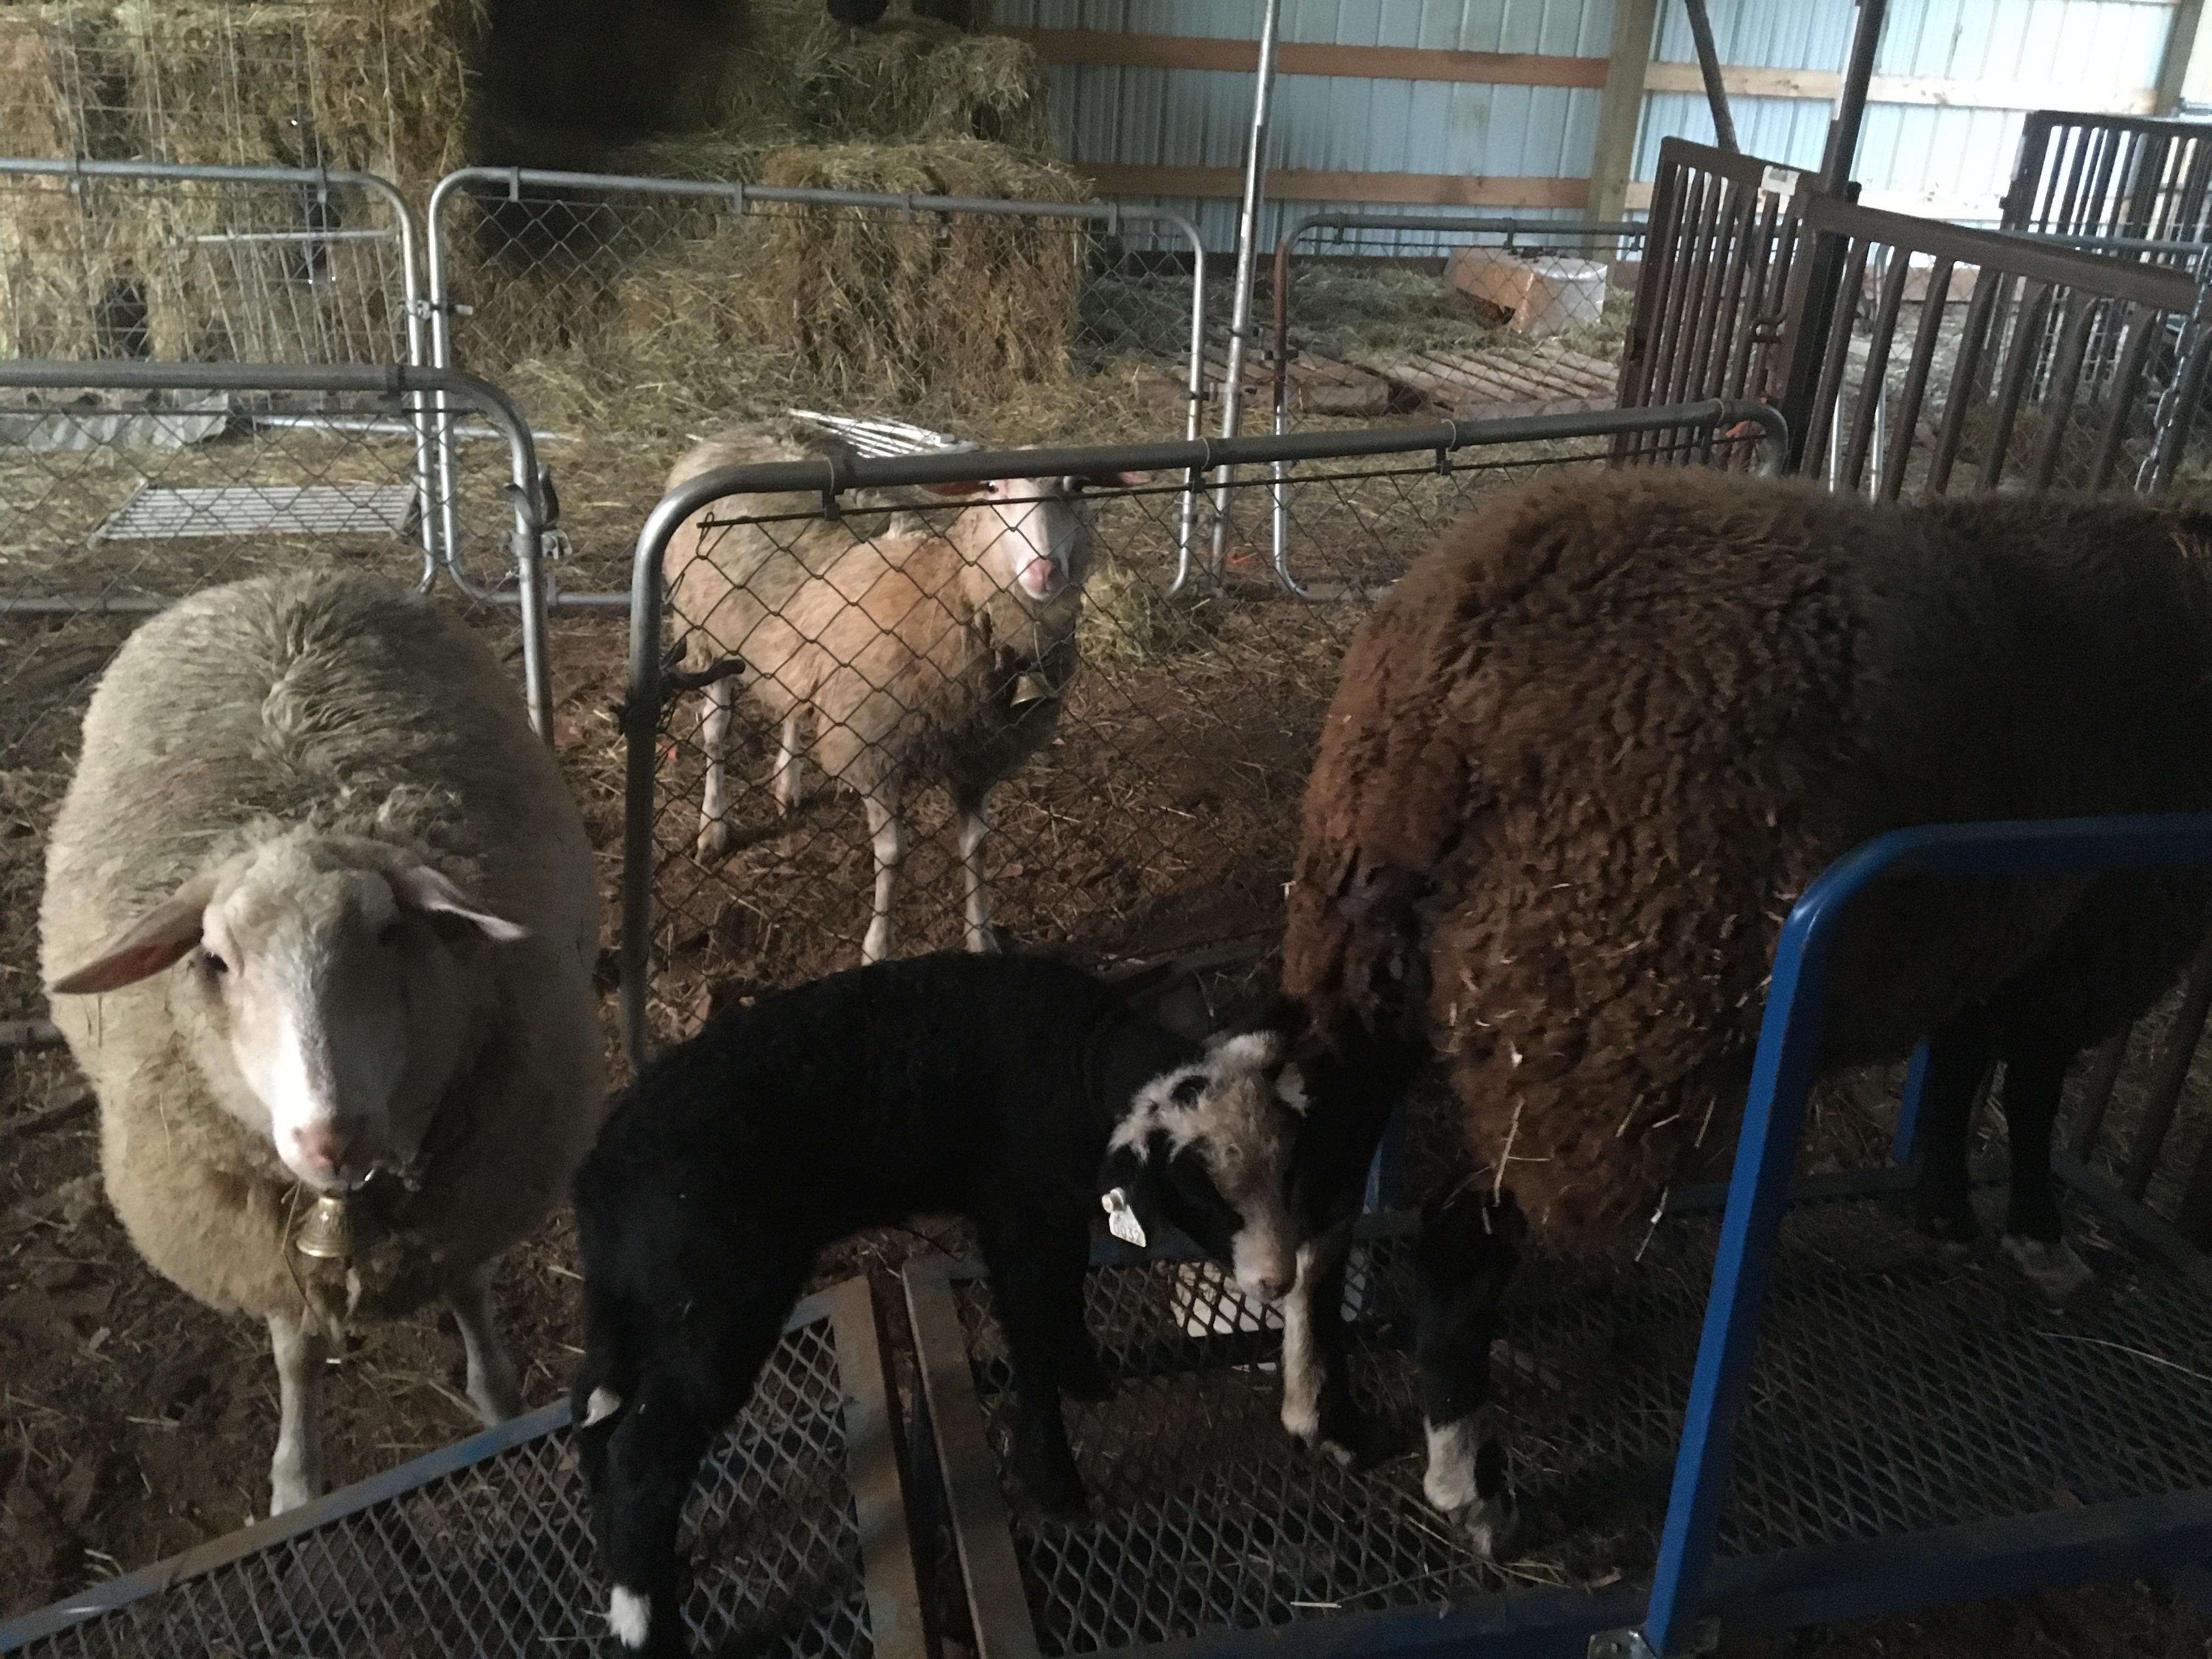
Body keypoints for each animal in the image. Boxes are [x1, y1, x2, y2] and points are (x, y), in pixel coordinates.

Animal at [38, 570, 604, 1516]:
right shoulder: (263, 1241)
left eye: (390, 933)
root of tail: (272, 578)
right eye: (216, 961)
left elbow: (469, 1291)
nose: (329, 1136)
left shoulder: (469, 1194)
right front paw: (295, 1484)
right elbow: (297, 1356)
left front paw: (497, 1401)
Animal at [568, 950, 1306, 1659]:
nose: (1277, 1280)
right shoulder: (1019, 1212)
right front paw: (1055, 1483)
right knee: (641, 1456)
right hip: (715, 1304)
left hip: (634, 1305)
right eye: (1197, 1184)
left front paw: (1087, 1379)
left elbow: (1061, 1304)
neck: (1078, 1059)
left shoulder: (1052, 1211)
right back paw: (649, 1632)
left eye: (1286, 1160)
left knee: (595, 1417)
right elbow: (1031, 1334)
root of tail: (600, 1180)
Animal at [664, 425, 1141, 963]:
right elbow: (893, 856)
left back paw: (788, 784)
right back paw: (713, 826)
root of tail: (734, 436)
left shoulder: (978, 759)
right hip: (705, 630)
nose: (1044, 572)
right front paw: (876, 949)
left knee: (792, 707)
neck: (955, 599)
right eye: (993, 488)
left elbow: (976, 846)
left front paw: (981, 938)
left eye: (1076, 486)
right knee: (716, 731)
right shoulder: (874, 751)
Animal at [1272, 468, 2212, 1557]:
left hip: (1365, 968)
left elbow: (1961, 1063)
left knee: (1322, 1194)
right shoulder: (2091, 938)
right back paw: (1479, 1490)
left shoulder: (1994, 934)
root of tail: (1450, 701)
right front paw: (2040, 1239)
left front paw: (1944, 1211)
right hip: (1586, 1040)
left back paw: (1330, 1417)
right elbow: (2028, 1096)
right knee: (1456, 1252)